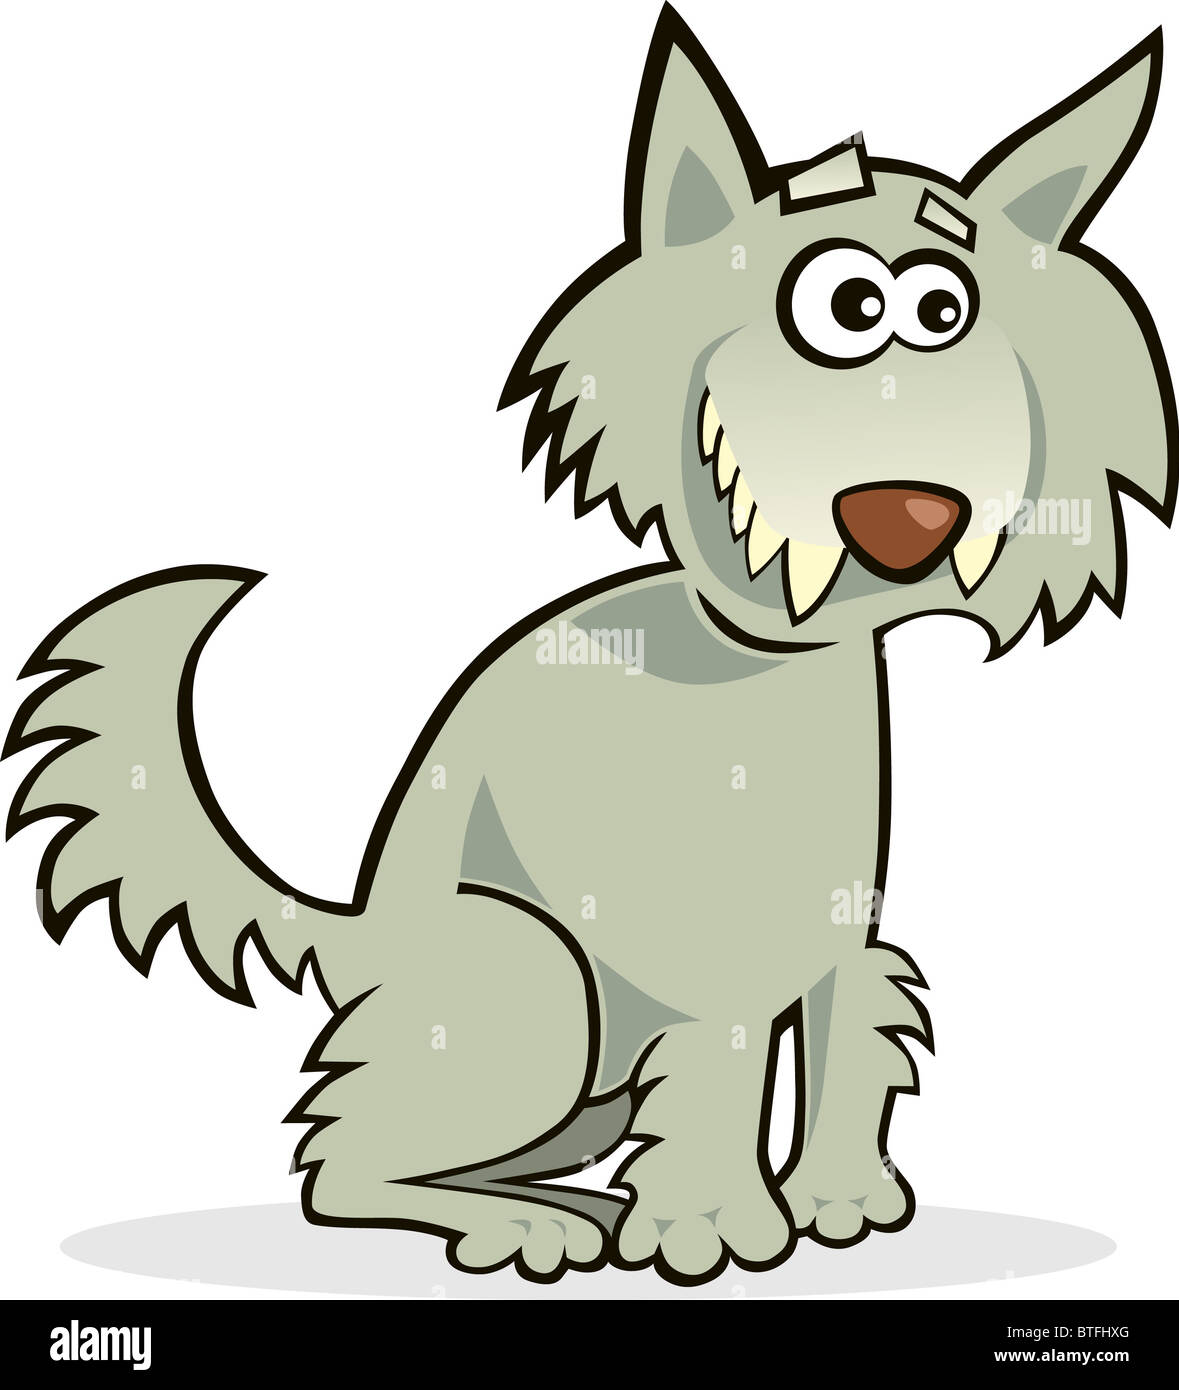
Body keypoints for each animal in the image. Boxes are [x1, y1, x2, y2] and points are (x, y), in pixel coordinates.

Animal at [6, 7, 1174, 1285]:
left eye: (944, 311)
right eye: (850, 309)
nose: (922, 479)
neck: (764, 657)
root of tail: (357, 939)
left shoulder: (835, 939)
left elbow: (846, 1041)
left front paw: (841, 1201)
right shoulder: (704, 958)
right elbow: (719, 1077)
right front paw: (715, 1230)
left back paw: (569, 1204)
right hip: (536, 973)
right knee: (344, 1167)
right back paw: (525, 1222)